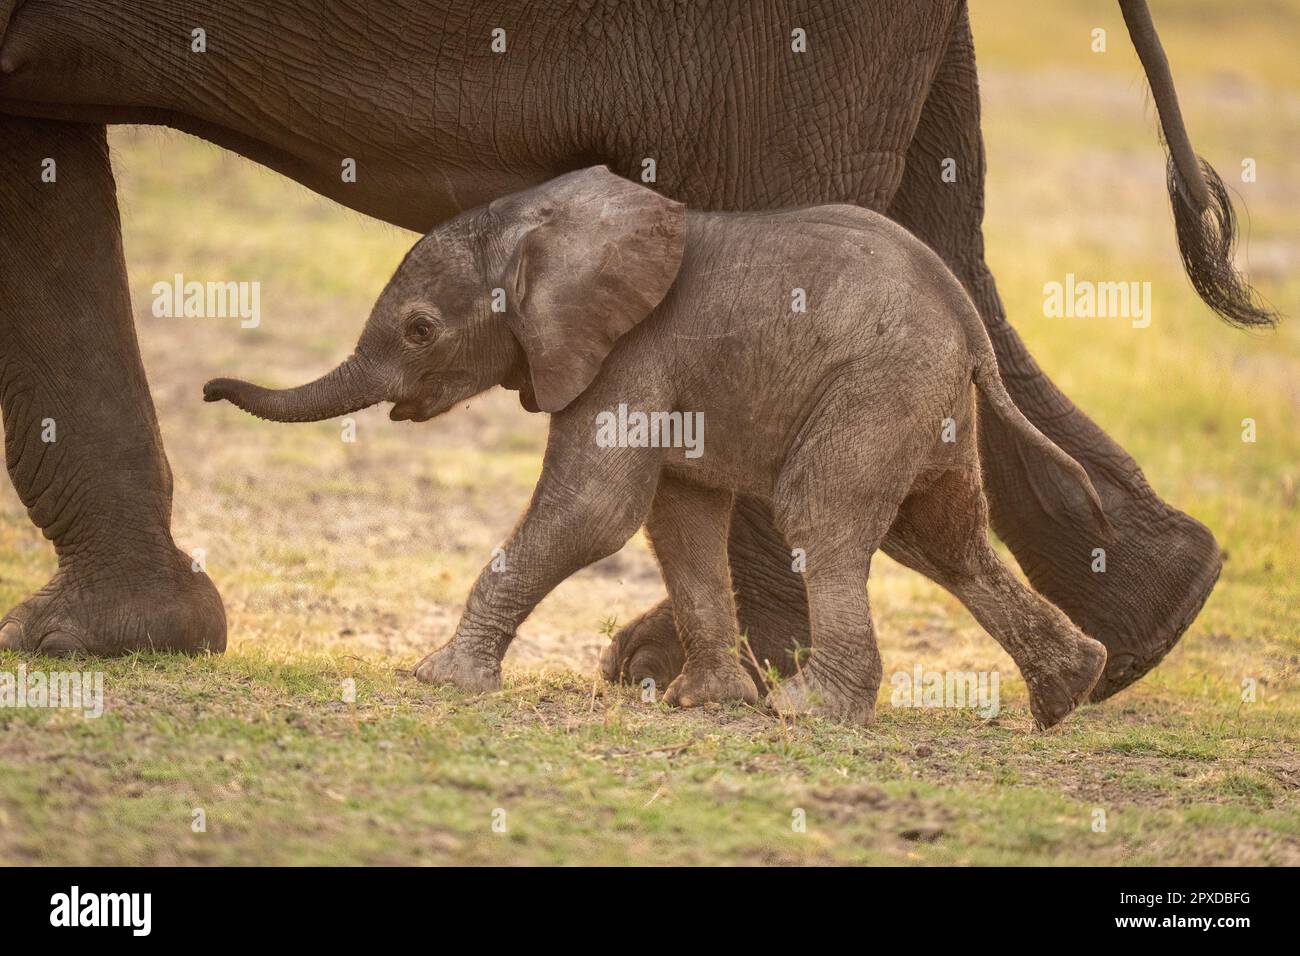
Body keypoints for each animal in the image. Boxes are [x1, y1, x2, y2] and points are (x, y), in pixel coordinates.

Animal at [204, 167, 1111, 728]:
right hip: (923, 403)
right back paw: (1069, 691)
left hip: (879, 386)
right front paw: (703, 704)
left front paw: (436, 677)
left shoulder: (630, 353)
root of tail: (969, 326)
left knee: (821, 517)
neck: (542, 223)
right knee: (940, 535)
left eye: (421, 330)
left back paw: (809, 711)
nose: (210, 389)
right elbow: (680, 519)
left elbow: (595, 511)